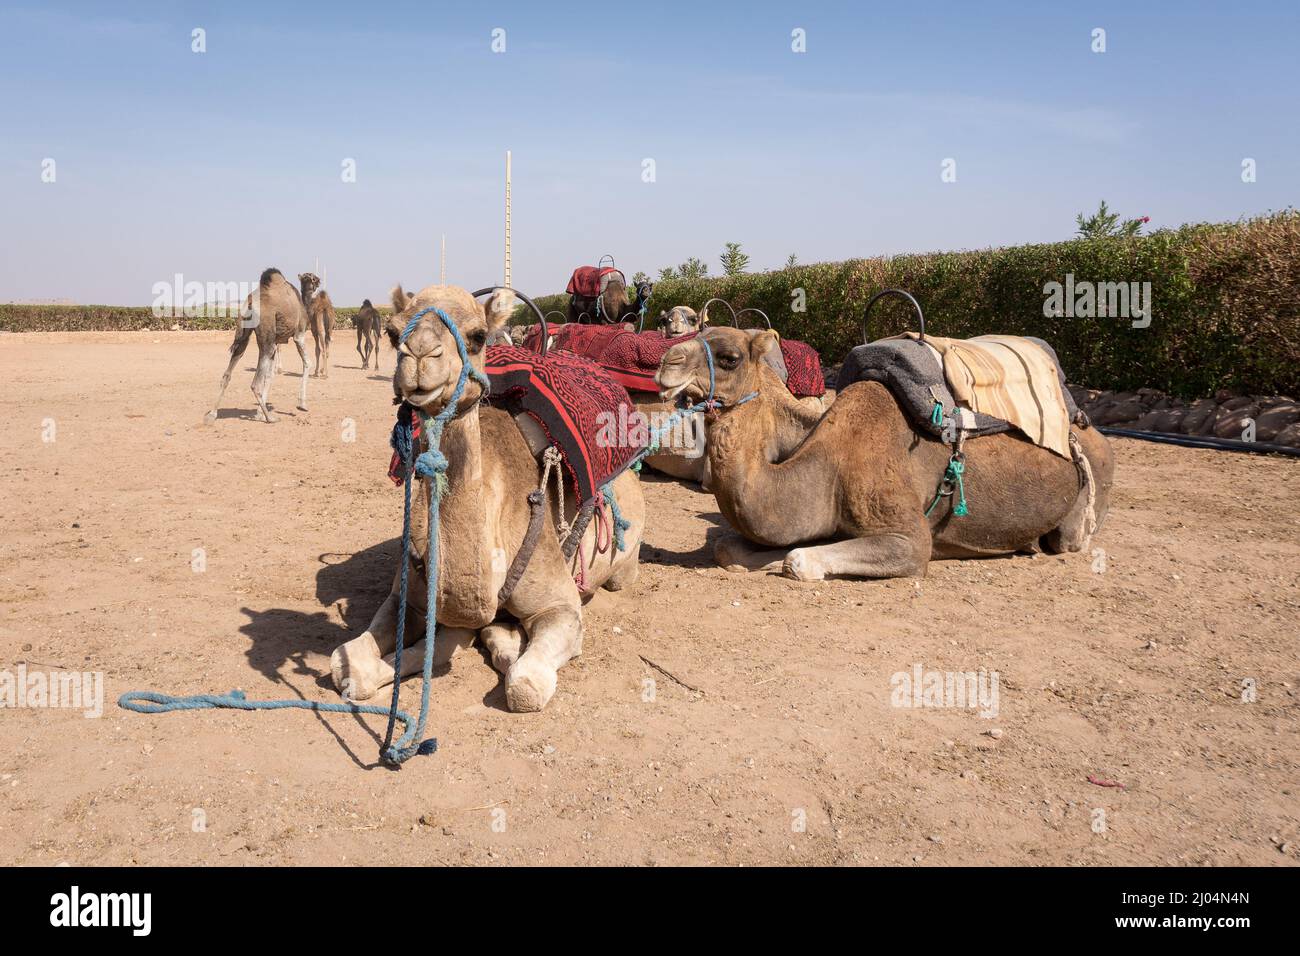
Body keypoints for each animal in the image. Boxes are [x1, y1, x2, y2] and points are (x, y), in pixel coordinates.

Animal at [205, 268, 312, 423]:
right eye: (312, 278)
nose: (315, 283)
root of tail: (250, 303)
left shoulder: (276, 341)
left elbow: (269, 375)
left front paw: (259, 412)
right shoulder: (299, 334)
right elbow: (307, 363)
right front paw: (302, 405)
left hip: (244, 334)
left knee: (228, 373)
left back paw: (212, 415)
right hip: (266, 337)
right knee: (255, 383)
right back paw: (270, 418)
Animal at [329, 284, 645, 712]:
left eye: (478, 335)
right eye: (393, 333)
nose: (420, 356)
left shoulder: (561, 606)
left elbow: (525, 687)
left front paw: (503, 646)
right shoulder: (407, 597)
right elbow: (348, 666)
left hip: (623, 561)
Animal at [655, 327, 1114, 581]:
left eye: (729, 358)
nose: (666, 362)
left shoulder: (907, 538)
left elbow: (798, 560)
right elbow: (728, 547)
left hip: (1084, 508)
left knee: (1070, 540)